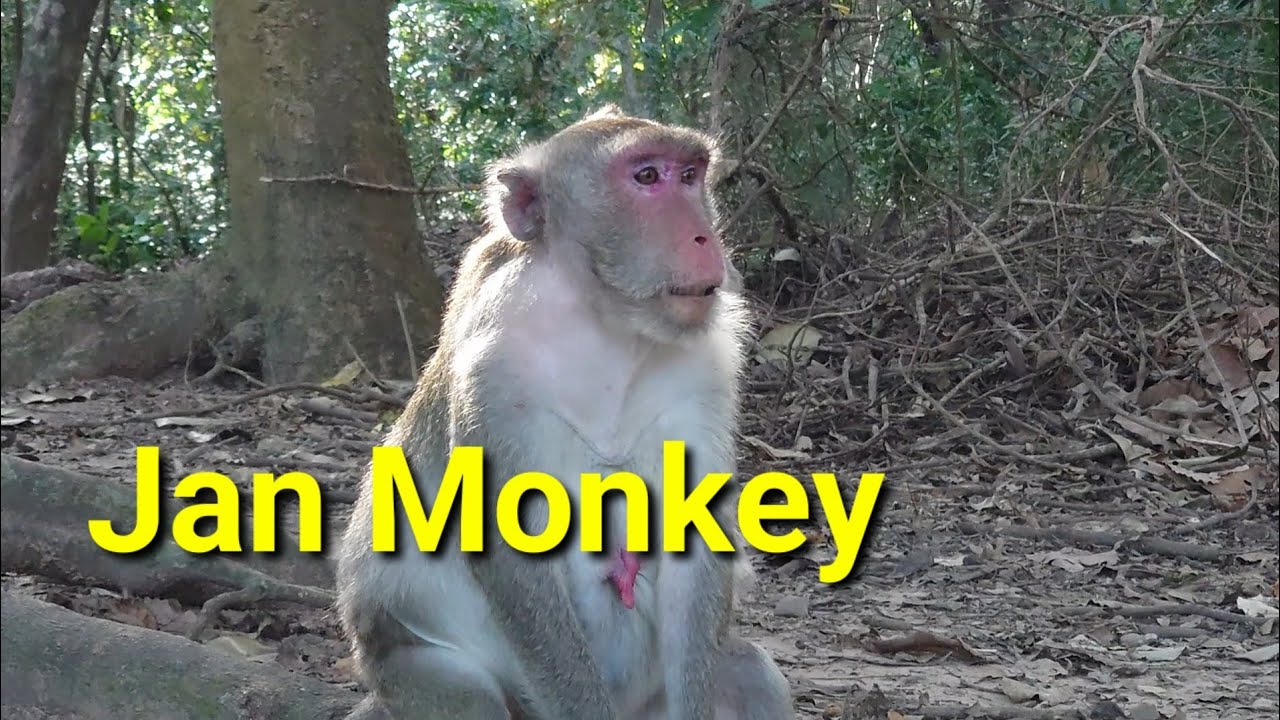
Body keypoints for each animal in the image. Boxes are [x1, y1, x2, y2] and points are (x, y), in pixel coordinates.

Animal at [335, 104, 794, 720]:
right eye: (646, 176)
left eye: (690, 174)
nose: (706, 236)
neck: (606, 324)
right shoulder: (494, 372)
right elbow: (507, 548)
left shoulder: (705, 370)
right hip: (409, 677)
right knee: (468, 696)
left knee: (748, 667)